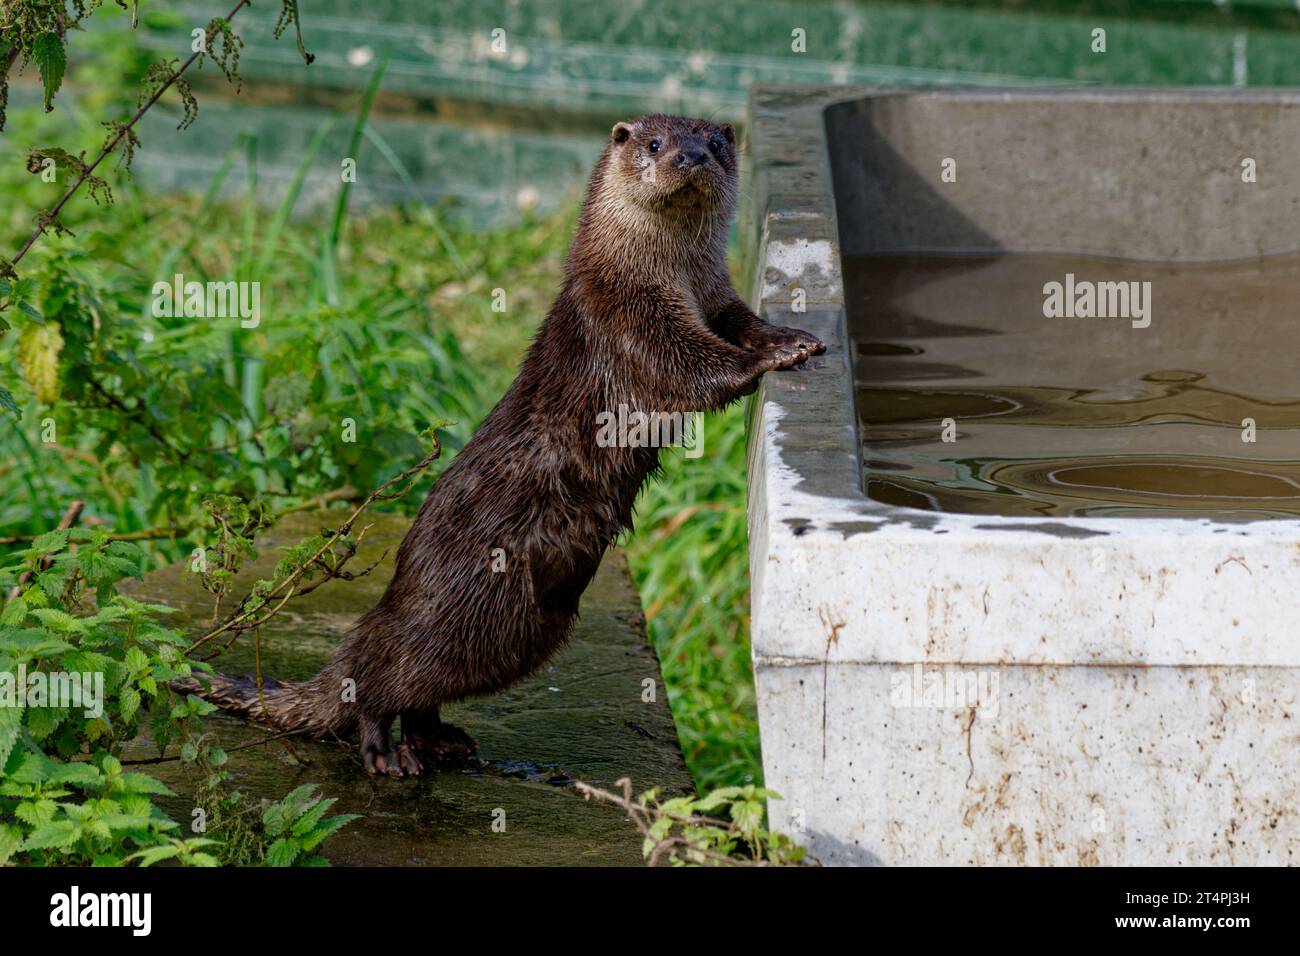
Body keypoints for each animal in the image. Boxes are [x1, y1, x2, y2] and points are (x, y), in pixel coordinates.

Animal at [180, 115, 825, 776]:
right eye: (655, 144)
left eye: (715, 144)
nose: (692, 157)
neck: (662, 278)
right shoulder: (631, 321)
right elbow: (695, 371)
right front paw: (766, 359)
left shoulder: (716, 300)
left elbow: (743, 322)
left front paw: (791, 337)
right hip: (456, 616)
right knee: (375, 678)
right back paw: (386, 753)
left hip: (523, 633)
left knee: (415, 690)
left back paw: (441, 741)